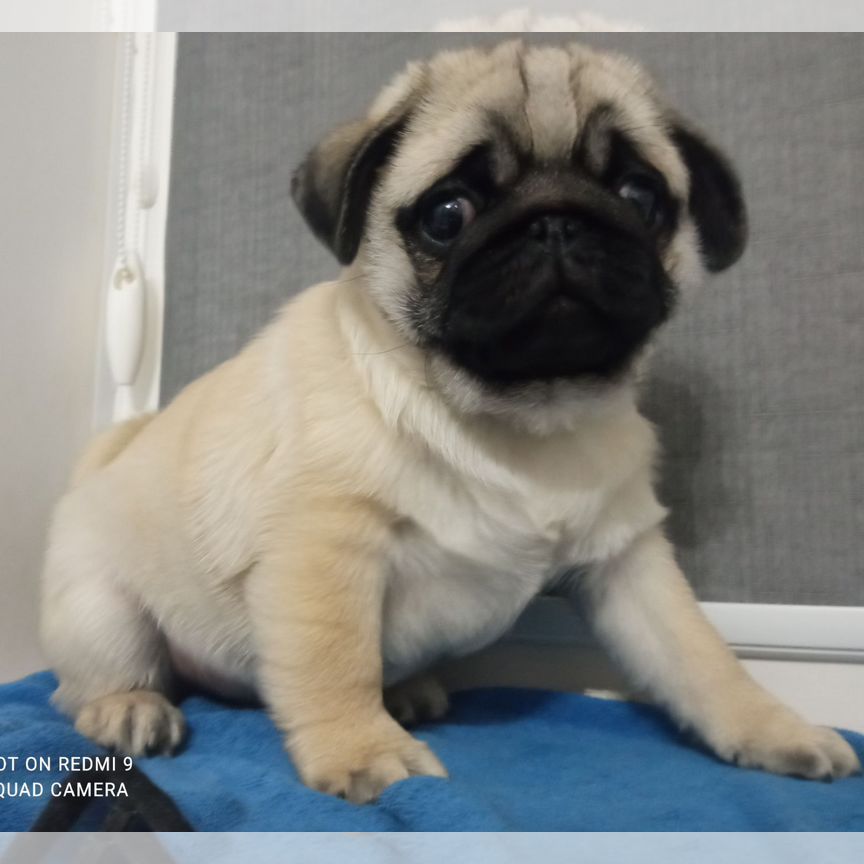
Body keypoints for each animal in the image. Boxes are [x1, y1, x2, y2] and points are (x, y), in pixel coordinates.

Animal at [41, 40, 860, 803]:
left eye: (640, 194)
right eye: (447, 214)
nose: (556, 222)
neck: (519, 416)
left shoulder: (627, 563)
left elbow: (699, 656)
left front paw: (772, 729)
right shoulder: (325, 548)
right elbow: (334, 662)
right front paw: (361, 751)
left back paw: (404, 692)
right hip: (104, 612)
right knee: (82, 687)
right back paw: (130, 708)